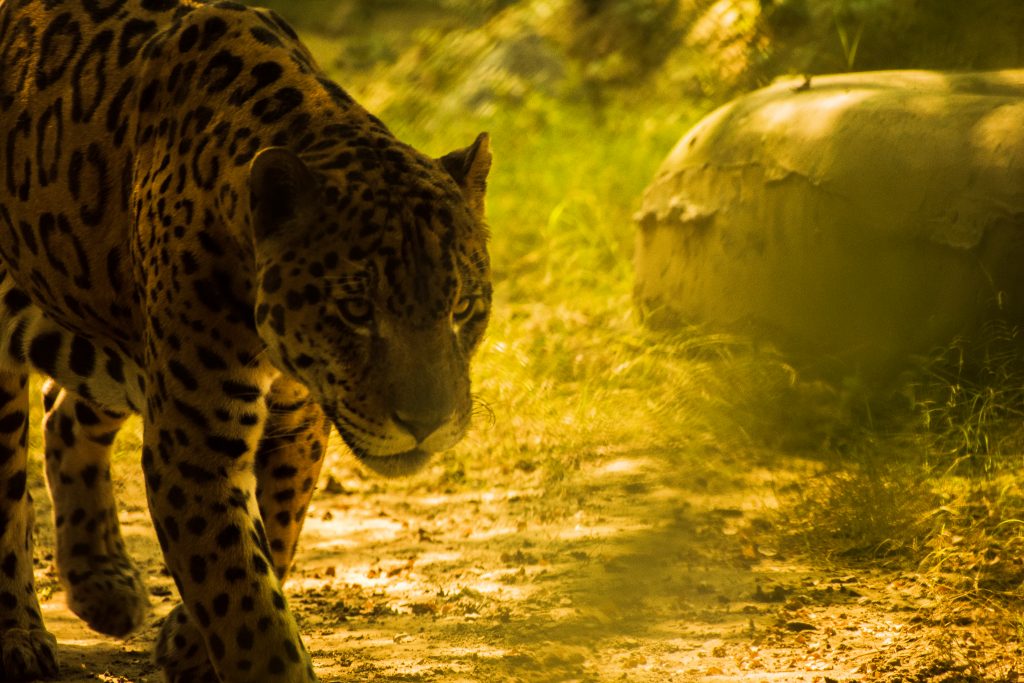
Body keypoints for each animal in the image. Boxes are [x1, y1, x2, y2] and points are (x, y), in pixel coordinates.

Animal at [0, 0, 493, 681]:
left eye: (463, 308)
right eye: (356, 310)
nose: (427, 424)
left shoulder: (299, 420)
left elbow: (275, 535)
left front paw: (188, 641)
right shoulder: (195, 442)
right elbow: (246, 607)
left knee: (65, 412)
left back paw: (104, 587)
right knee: (7, 492)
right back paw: (20, 634)